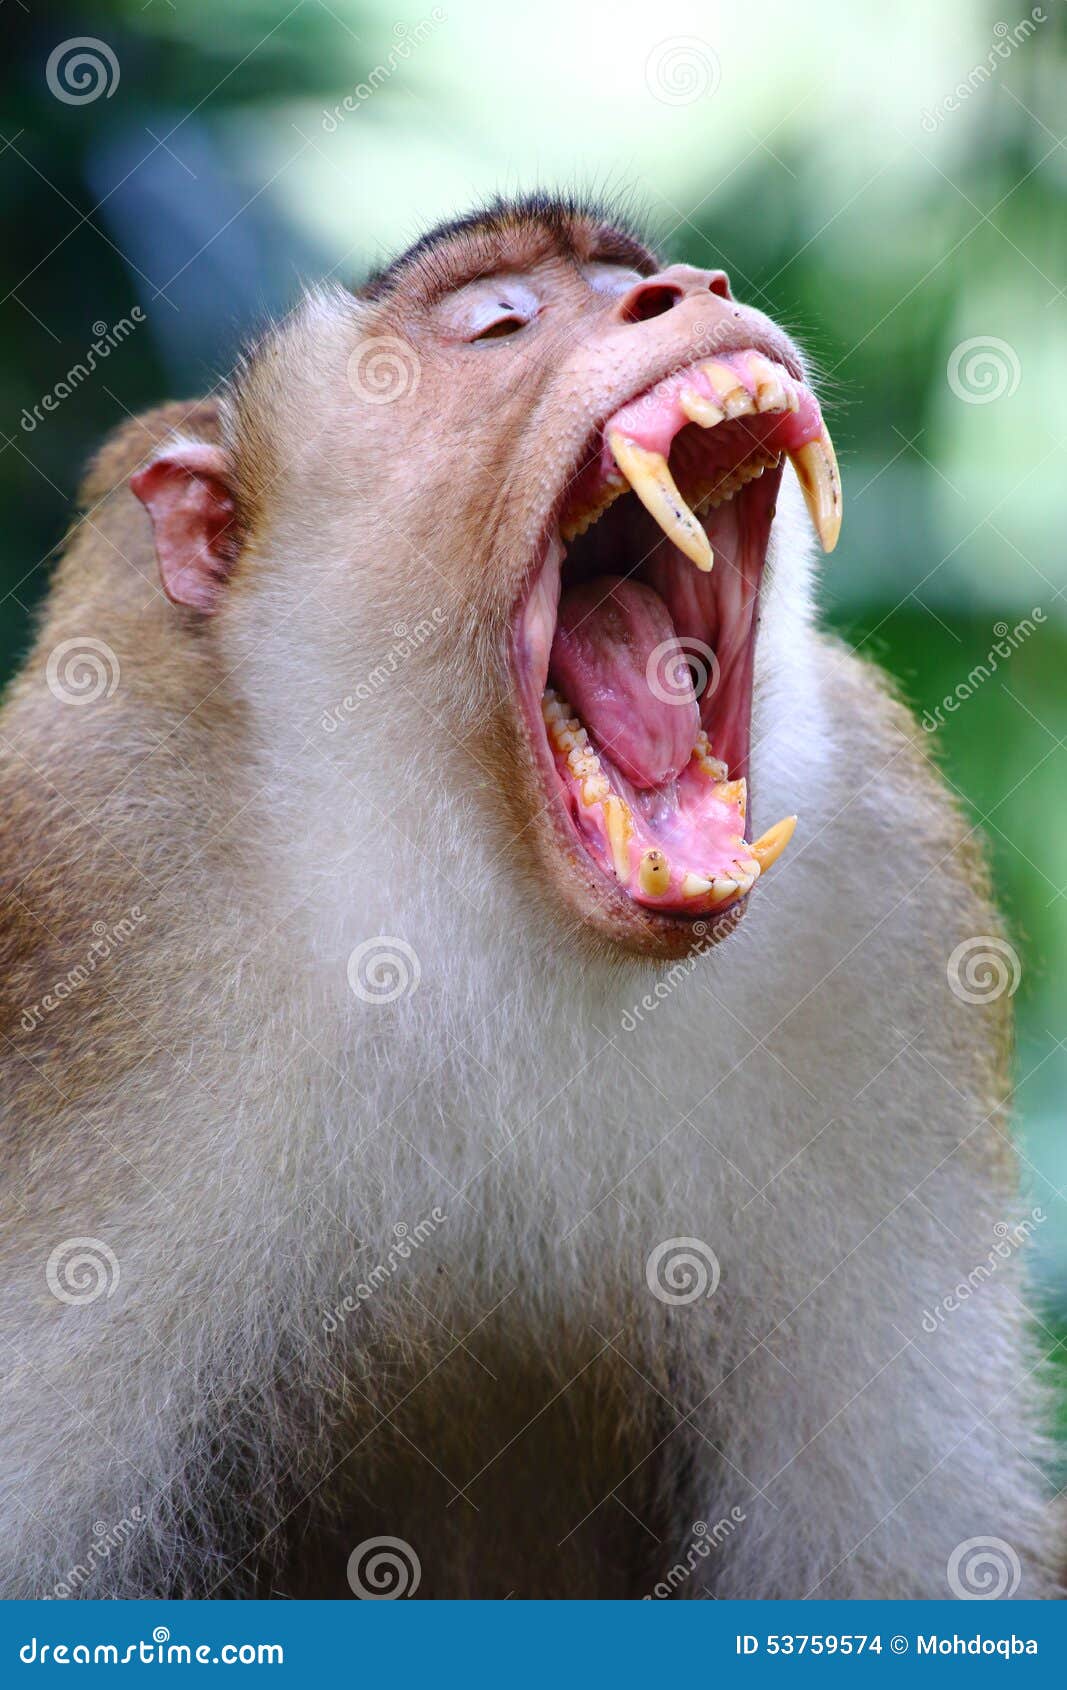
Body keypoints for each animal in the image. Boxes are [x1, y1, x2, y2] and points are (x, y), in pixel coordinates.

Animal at [0, 193, 1060, 1600]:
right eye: (498, 323)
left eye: (630, 276)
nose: (688, 289)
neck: (460, 906)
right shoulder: (95, 877)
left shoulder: (881, 893)